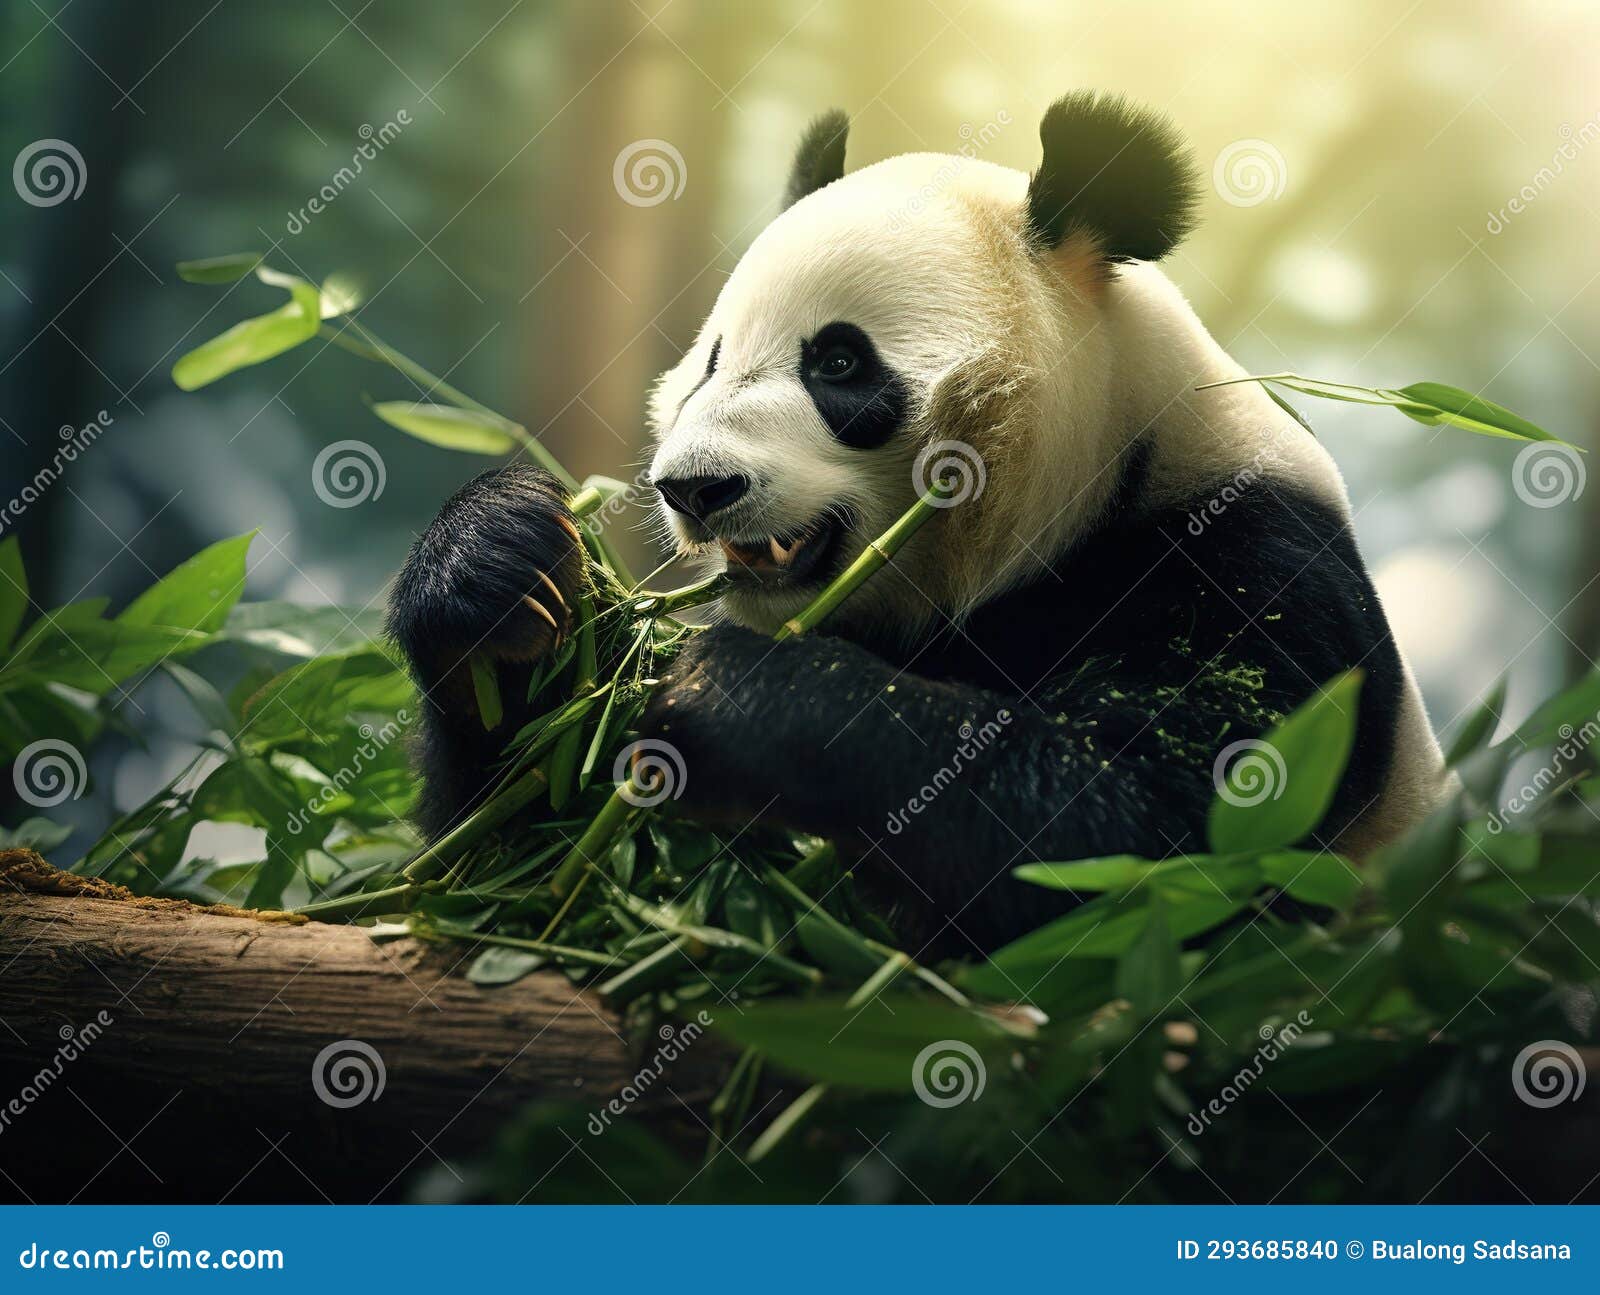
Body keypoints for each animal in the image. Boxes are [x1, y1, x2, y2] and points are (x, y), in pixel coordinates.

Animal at [388, 92, 1449, 955]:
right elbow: (496, 847)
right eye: (712, 359)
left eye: (840, 364)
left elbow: (1164, 845)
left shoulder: (1248, 566)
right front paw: (501, 568)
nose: (696, 487)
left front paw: (736, 698)